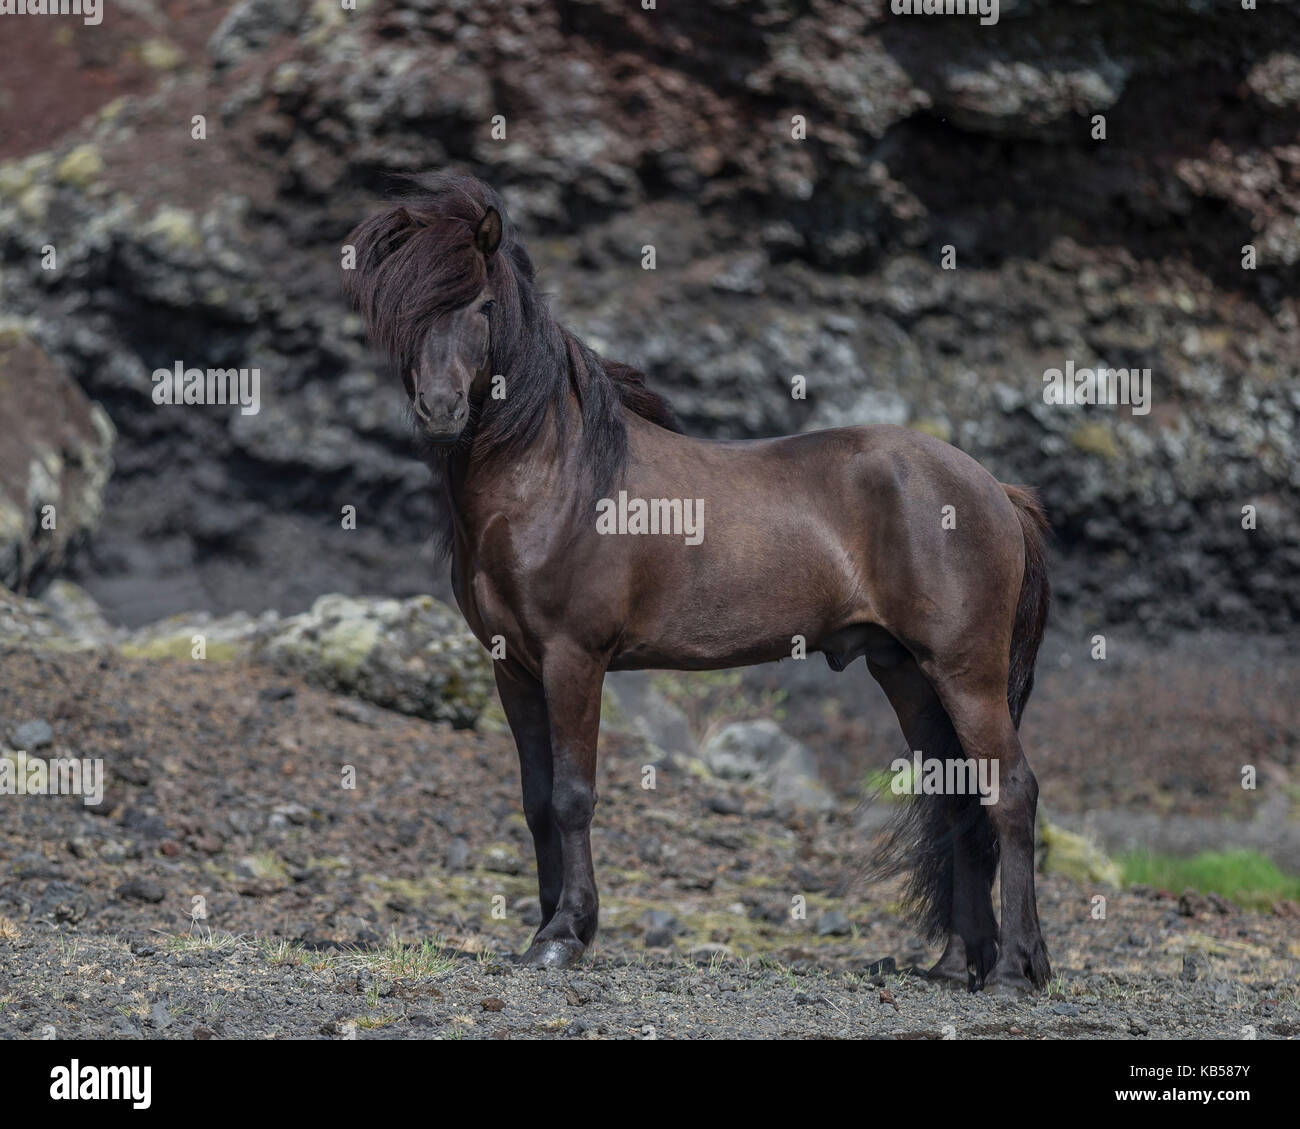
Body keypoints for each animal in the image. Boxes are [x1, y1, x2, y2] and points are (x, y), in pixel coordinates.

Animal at [345, 171, 1052, 993]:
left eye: (483, 304)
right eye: (407, 311)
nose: (441, 409)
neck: (554, 478)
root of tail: (995, 488)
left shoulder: (573, 659)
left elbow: (573, 795)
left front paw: (565, 935)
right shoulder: (512, 668)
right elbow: (535, 800)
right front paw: (544, 928)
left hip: (965, 671)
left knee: (1011, 793)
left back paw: (1015, 970)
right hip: (907, 672)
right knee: (959, 799)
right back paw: (955, 965)